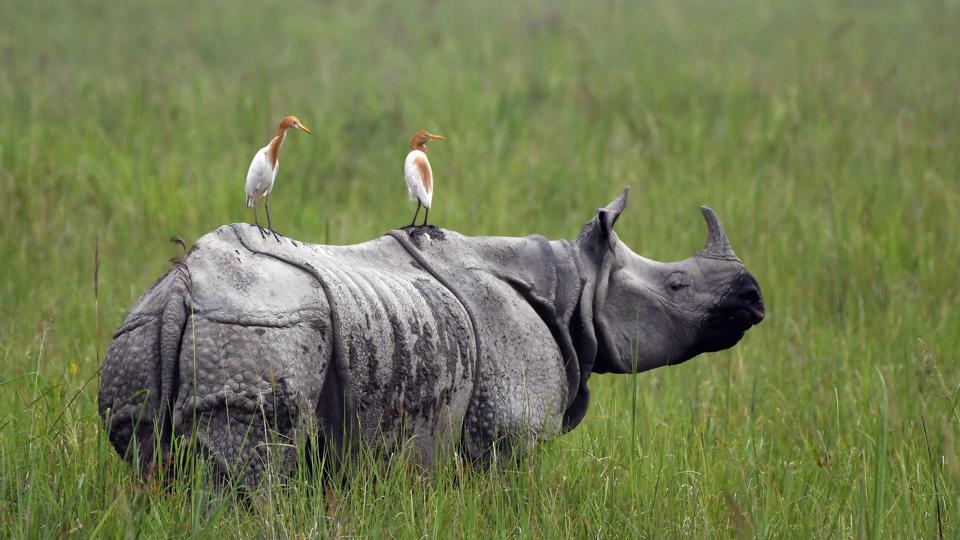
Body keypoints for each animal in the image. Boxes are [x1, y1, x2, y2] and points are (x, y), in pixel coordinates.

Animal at [98, 189, 764, 486]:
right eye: (677, 284)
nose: (754, 298)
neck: (576, 285)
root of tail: (179, 292)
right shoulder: (506, 435)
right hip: (257, 328)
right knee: (253, 472)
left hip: (143, 331)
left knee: (148, 459)